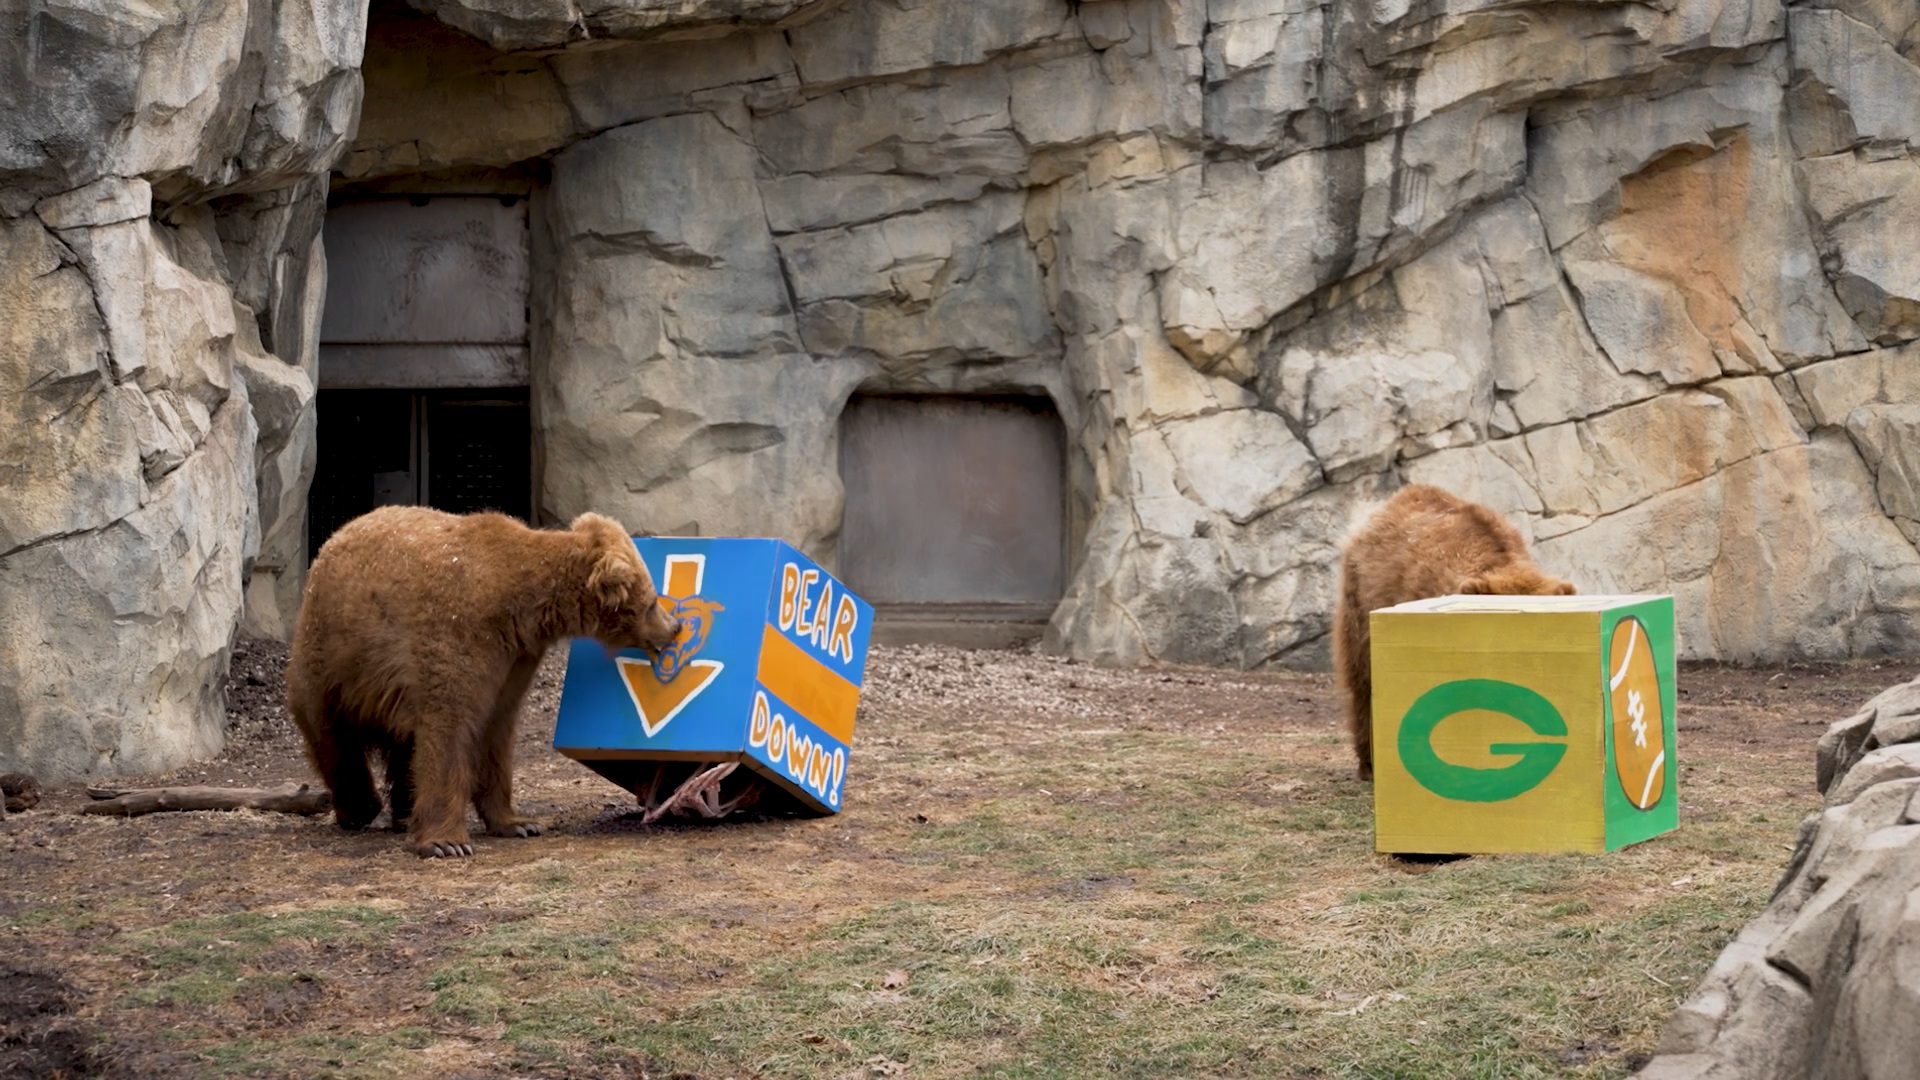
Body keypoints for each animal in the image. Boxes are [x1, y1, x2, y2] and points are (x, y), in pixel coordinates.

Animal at [287, 507, 682, 858]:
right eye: (651, 602)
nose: (675, 627)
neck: (522, 603)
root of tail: (334, 538)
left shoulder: (514, 659)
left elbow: (496, 729)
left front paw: (519, 822)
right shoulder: (462, 633)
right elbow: (449, 727)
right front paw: (446, 842)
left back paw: (403, 813)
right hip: (334, 653)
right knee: (331, 732)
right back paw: (359, 808)